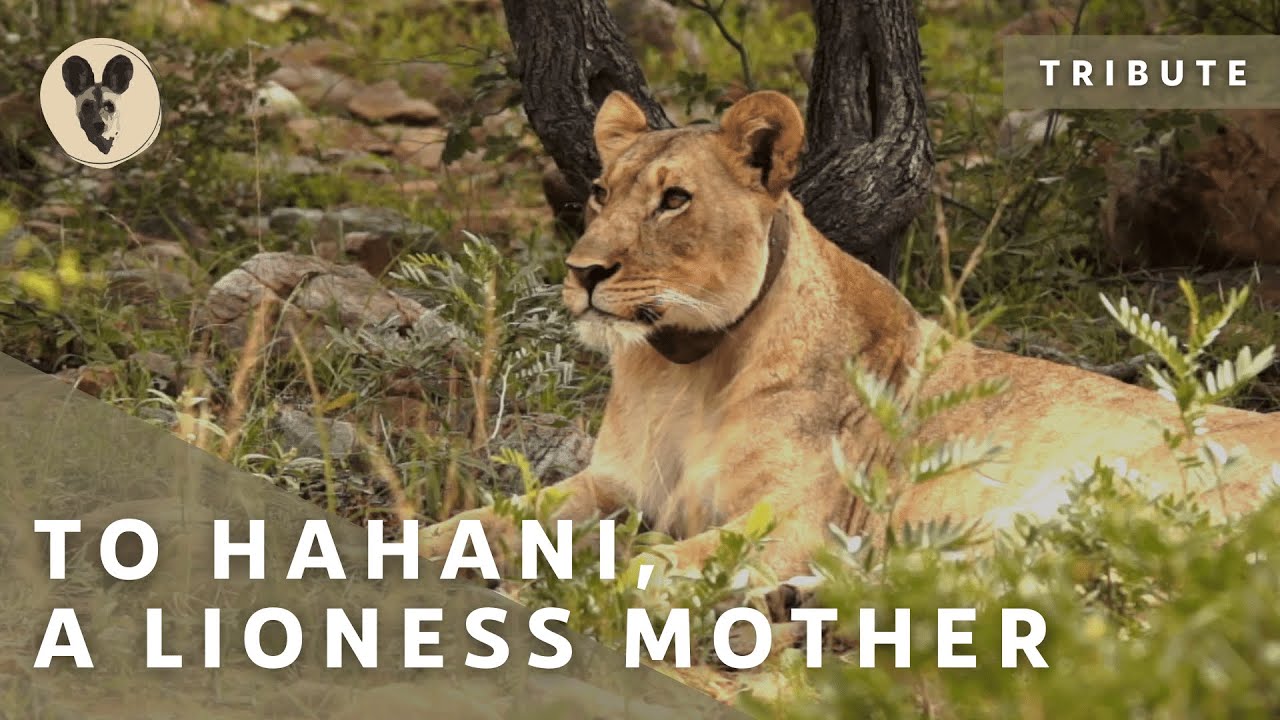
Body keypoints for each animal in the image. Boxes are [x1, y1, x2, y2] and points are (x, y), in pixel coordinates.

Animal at [420, 90, 1280, 579]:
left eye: (674, 200)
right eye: (600, 191)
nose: (584, 271)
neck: (686, 370)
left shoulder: (798, 519)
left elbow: (653, 569)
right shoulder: (617, 483)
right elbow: (487, 519)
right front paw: (416, 552)